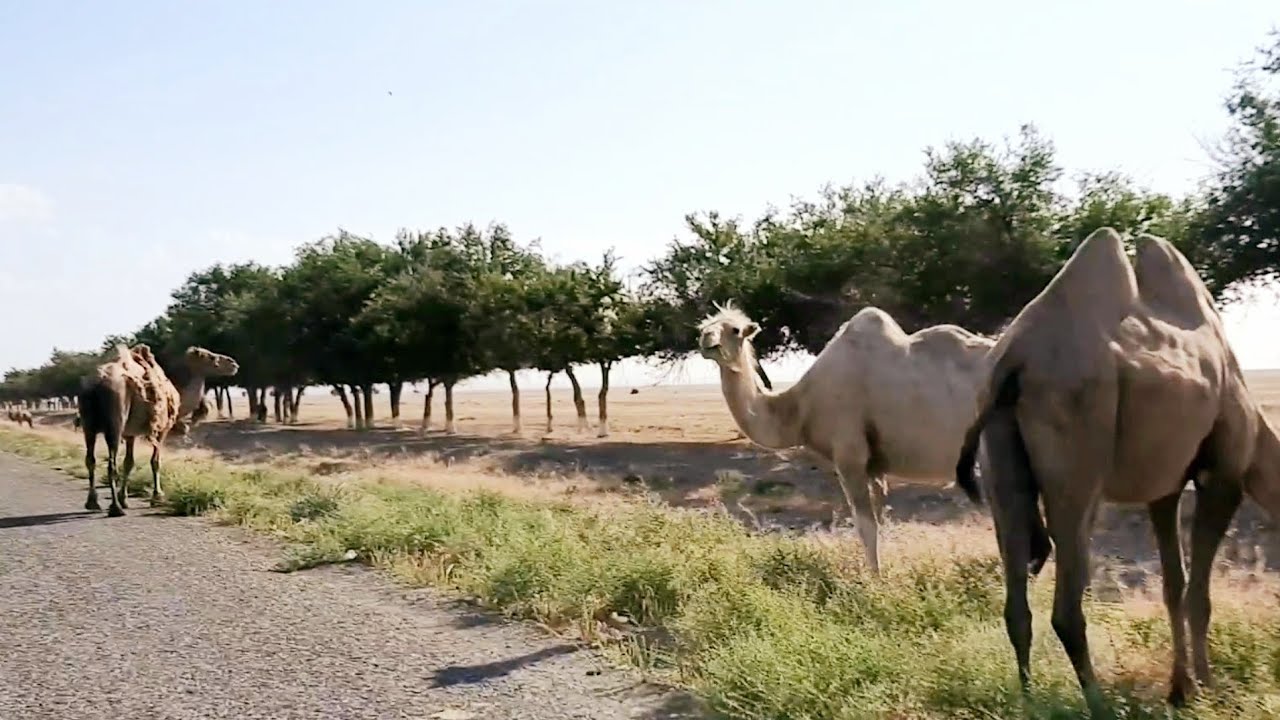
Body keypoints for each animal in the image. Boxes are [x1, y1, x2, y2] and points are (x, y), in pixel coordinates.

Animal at [78, 344, 239, 517]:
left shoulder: (130, 434)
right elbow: (155, 461)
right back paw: (115, 508)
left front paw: (124, 499)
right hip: (115, 422)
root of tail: (97, 382)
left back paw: (92, 503)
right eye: (210, 357)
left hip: (88, 425)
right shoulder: (162, 430)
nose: (233, 363)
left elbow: (129, 462)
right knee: (111, 463)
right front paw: (157, 497)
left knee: (90, 459)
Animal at [697, 301, 995, 573]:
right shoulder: (875, 468)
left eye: (734, 330)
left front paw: (874, 584)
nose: (705, 340)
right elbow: (880, 519)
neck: (802, 406)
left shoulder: (849, 454)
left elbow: (866, 527)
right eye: (704, 326)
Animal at [953, 227, 1280, 711]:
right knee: (1067, 606)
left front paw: (1180, 689)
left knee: (1016, 602)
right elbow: (1199, 594)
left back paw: (1030, 702)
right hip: (1079, 454)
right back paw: (1099, 704)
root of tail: (1012, 364)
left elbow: (1174, 586)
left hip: (1001, 467)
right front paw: (1207, 690)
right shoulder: (1222, 474)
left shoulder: (1164, 487)